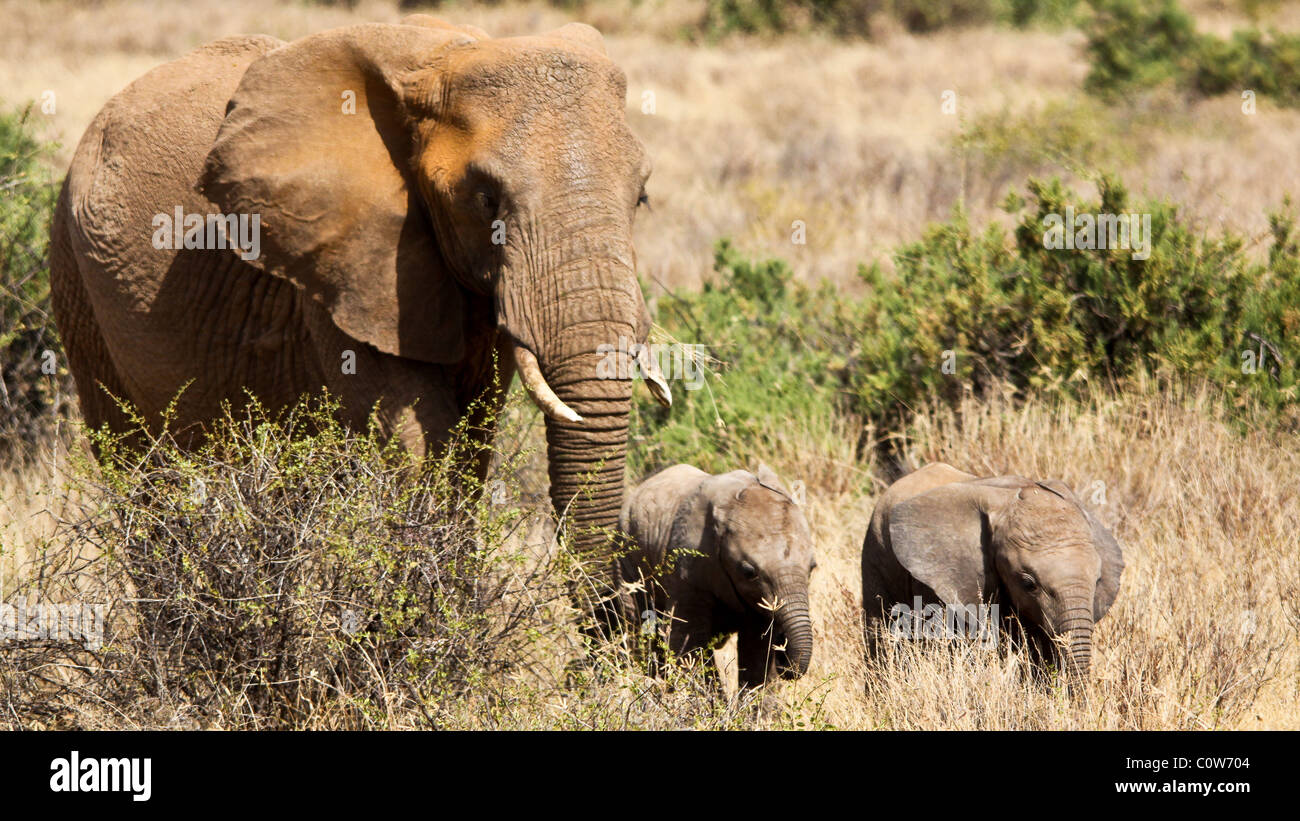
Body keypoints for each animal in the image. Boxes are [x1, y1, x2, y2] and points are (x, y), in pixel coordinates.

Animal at [48, 17, 672, 623]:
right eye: (486, 200)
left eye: (642, 196)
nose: (627, 614)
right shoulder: (340, 266)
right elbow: (422, 442)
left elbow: (471, 443)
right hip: (76, 280)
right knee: (140, 477)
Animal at [619, 463, 816, 689]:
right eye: (749, 572)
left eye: (812, 567)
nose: (783, 657)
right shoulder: (688, 564)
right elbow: (687, 641)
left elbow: (758, 649)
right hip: (625, 554)